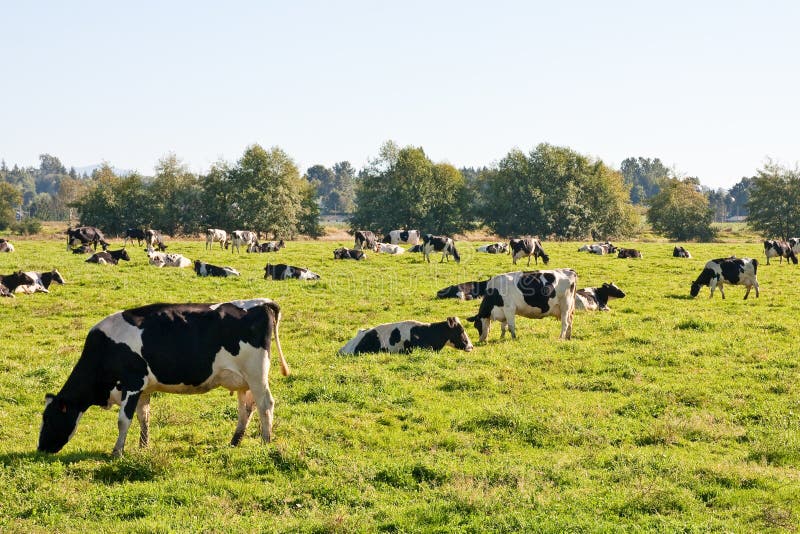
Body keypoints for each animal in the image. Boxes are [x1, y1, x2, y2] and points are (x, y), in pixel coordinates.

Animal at [37, 298, 290, 456]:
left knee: (265, 404)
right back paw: (235, 442)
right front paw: (143, 446)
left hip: (257, 373)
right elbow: (144, 417)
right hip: (242, 379)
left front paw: (117, 451)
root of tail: (262, 303)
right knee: (246, 407)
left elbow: (123, 420)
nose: (41, 449)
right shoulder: (143, 389)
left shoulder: (132, 383)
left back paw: (266, 442)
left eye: (48, 419)